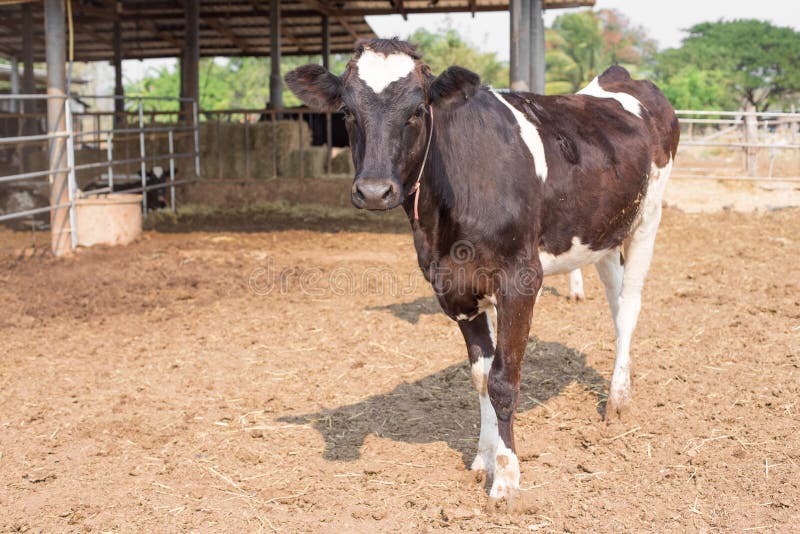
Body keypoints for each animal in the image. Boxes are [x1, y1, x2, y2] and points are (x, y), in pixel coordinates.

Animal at [285, 38, 679, 501]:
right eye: (347, 111)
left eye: (417, 110)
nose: (374, 190)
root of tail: (614, 78)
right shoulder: (452, 285)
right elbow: (480, 378)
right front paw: (483, 459)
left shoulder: (521, 280)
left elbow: (503, 381)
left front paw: (507, 478)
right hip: (601, 234)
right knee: (616, 306)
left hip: (648, 217)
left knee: (630, 307)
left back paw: (617, 401)